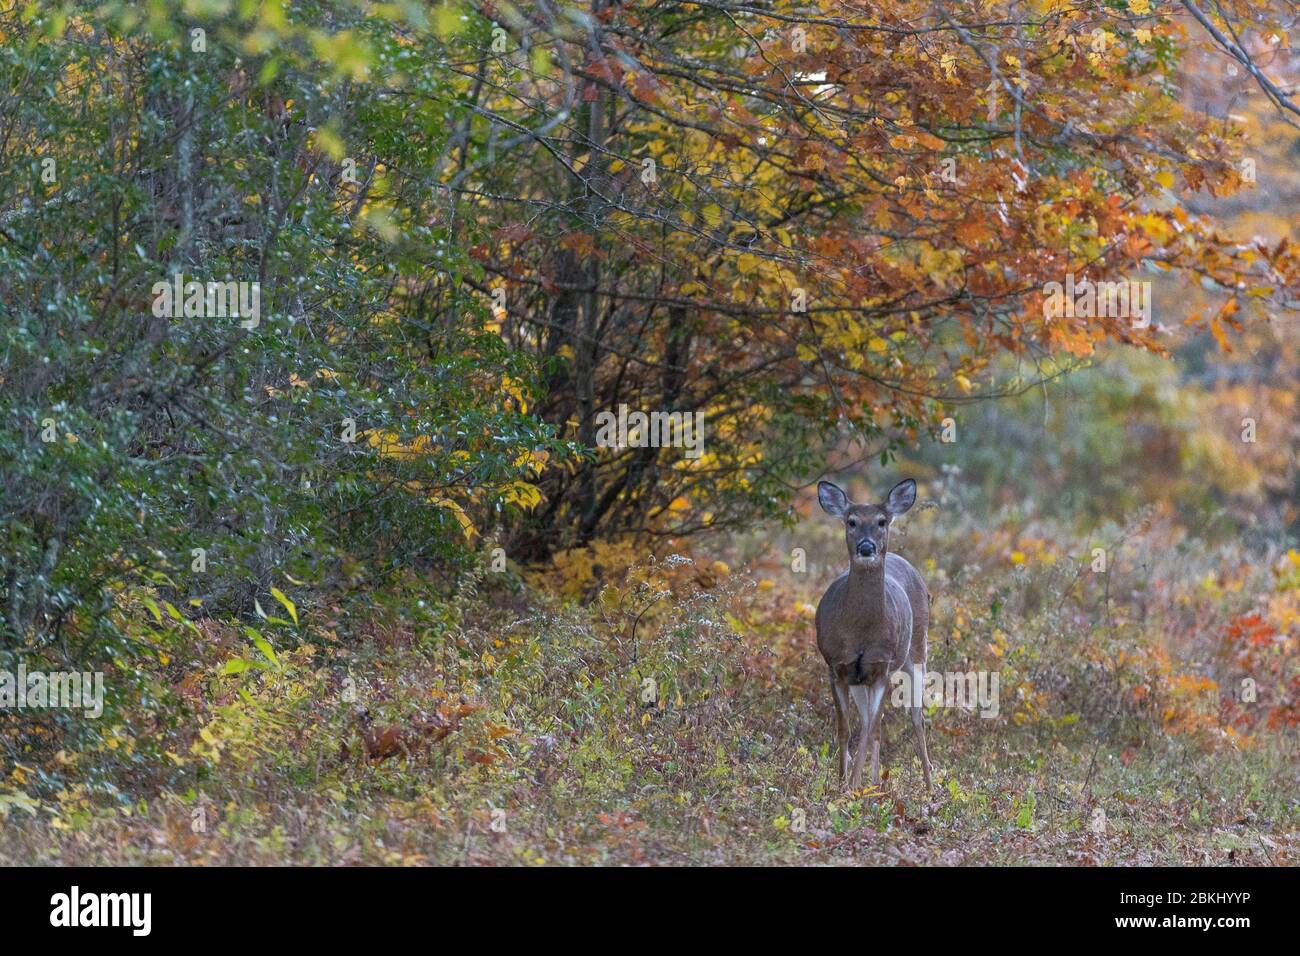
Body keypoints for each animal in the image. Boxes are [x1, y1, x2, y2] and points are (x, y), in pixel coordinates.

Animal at [815, 478, 934, 792]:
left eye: (881, 521)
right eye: (851, 521)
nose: (866, 546)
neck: (861, 630)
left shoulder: (882, 666)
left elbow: (870, 727)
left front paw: (855, 786)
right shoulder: (837, 666)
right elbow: (845, 728)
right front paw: (842, 783)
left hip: (917, 648)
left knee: (914, 716)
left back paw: (927, 784)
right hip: (861, 679)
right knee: (872, 719)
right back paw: (874, 781)